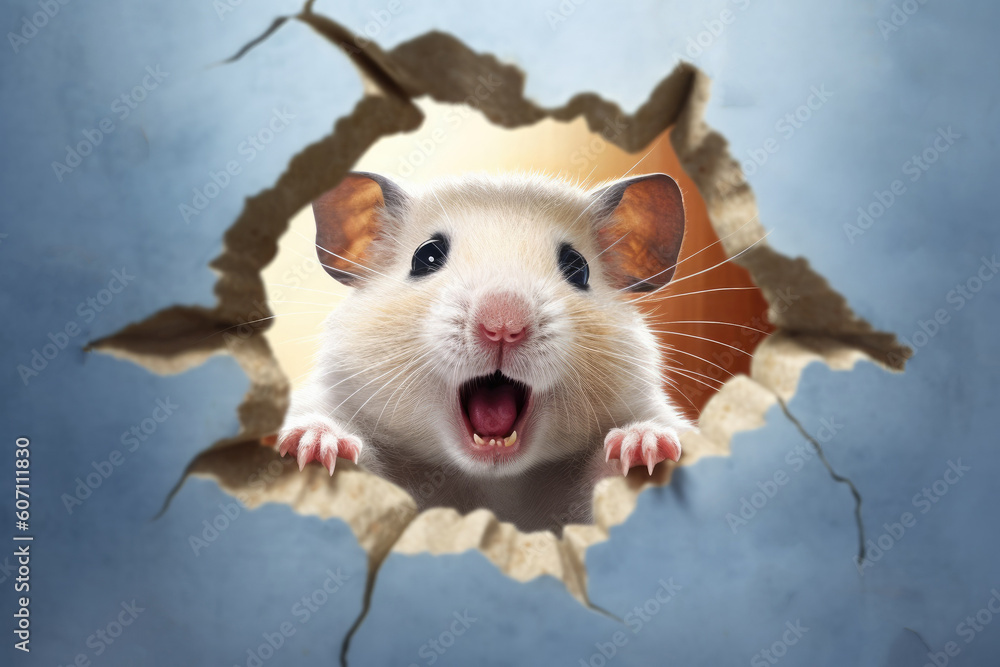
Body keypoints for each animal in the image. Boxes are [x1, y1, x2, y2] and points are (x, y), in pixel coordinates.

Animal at [277, 171, 692, 533]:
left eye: (578, 268)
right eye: (425, 258)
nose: (503, 326)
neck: (494, 478)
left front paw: (644, 445)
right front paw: (314, 444)